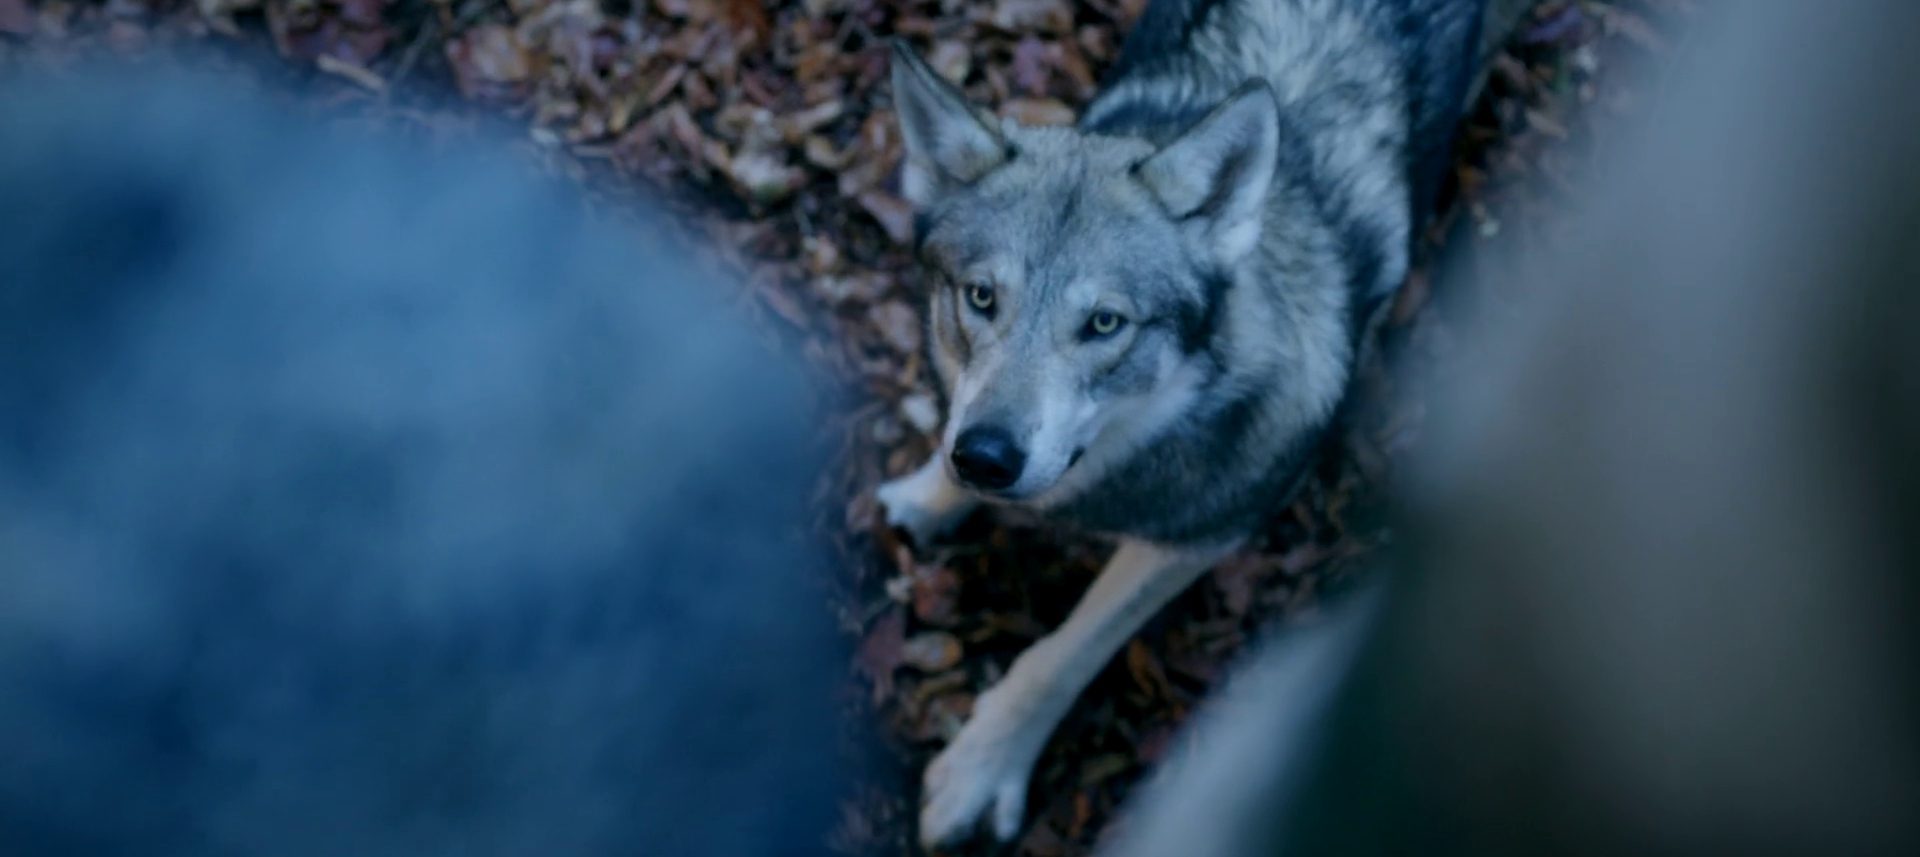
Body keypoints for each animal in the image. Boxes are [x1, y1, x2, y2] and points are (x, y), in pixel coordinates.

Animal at [875, 0, 1527, 846]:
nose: (987, 457)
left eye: (1105, 323)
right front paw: (930, 496)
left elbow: (1062, 655)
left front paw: (981, 770)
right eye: (981, 297)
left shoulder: (1201, 537)